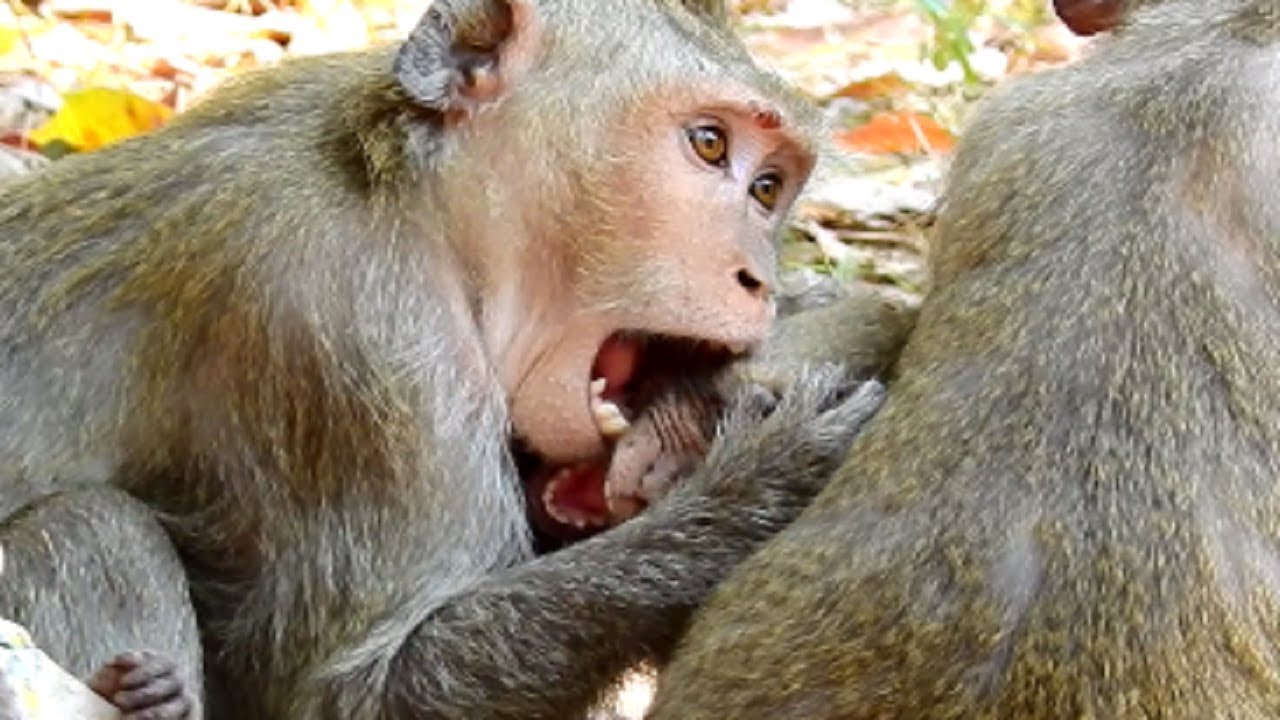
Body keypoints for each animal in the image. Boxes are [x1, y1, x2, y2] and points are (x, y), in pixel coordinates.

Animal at [0, 0, 889, 718]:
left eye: (769, 188)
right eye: (709, 145)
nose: (760, 280)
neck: (413, 200)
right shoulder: (349, 330)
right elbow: (348, 696)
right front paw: (754, 484)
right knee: (87, 528)